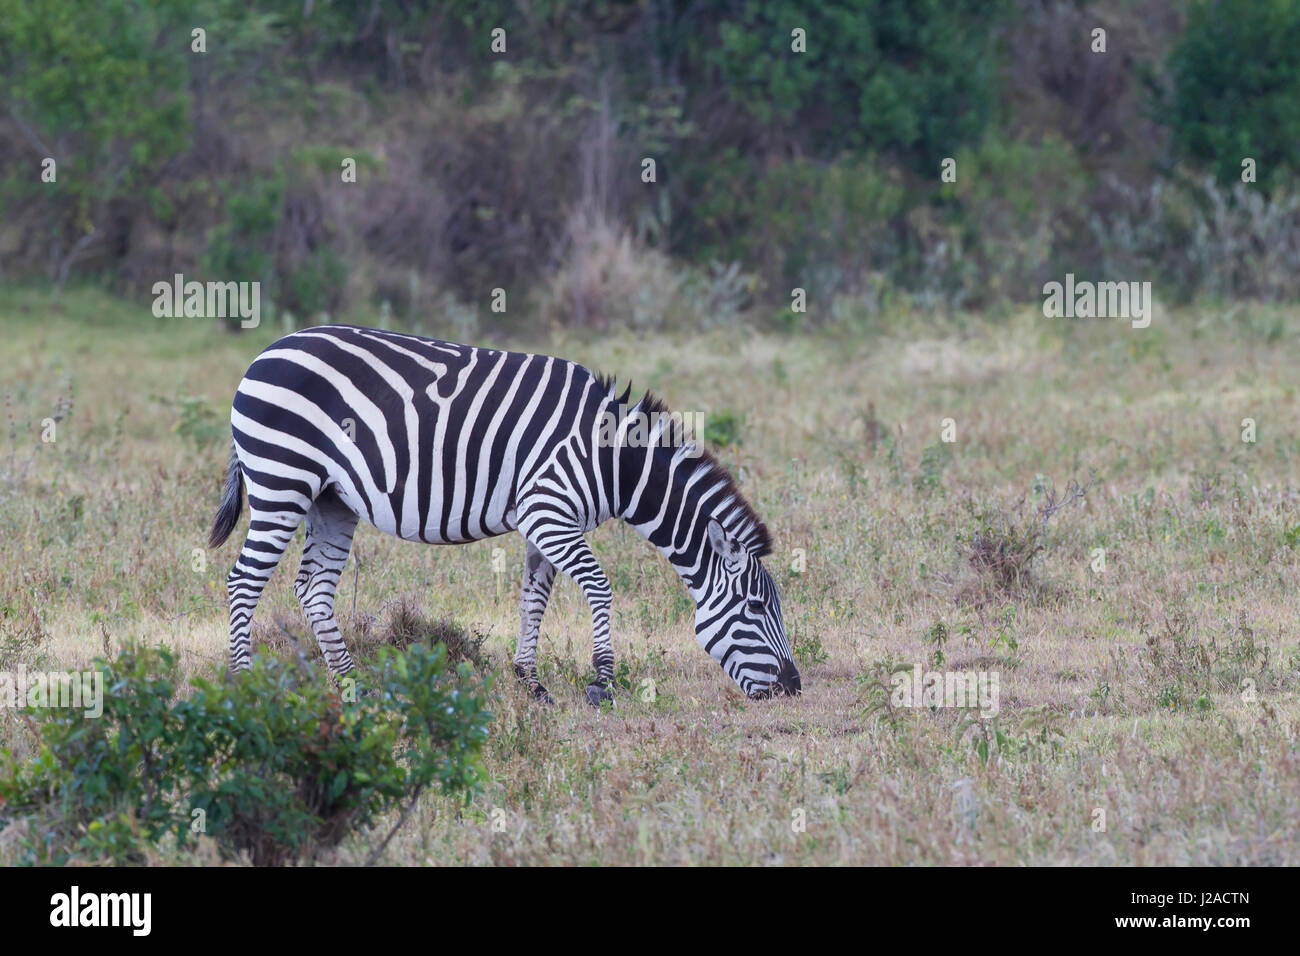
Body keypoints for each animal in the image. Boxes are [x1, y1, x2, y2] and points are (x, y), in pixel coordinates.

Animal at [208, 324, 801, 704]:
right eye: (755, 608)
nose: (793, 688)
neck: (610, 458)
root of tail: (263, 354)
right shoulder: (550, 513)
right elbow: (600, 587)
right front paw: (602, 682)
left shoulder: (547, 521)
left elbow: (534, 599)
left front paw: (530, 684)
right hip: (283, 480)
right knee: (244, 581)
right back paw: (243, 688)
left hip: (330, 499)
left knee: (312, 588)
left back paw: (355, 688)